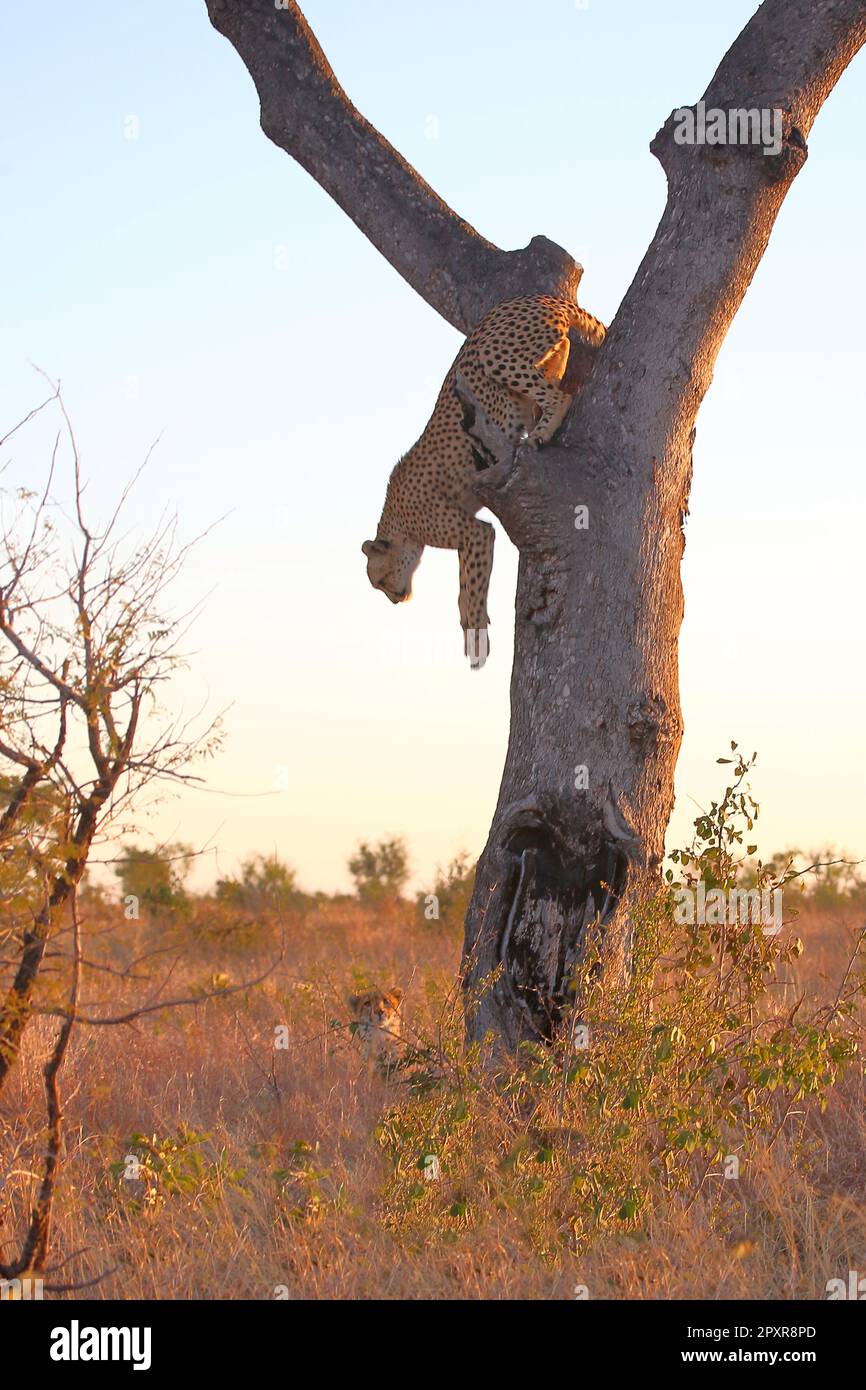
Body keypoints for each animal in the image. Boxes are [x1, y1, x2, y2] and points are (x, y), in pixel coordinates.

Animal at [362, 294, 606, 668]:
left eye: (380, 580)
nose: (395, 599)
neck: (400, 526)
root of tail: (537, 296)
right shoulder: (470, 531)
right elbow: (465, 579)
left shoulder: (474, 531)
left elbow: (470, 585)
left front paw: (475, 635)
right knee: (558, 364)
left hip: (495, 355)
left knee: (559, 395)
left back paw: (540, 432)